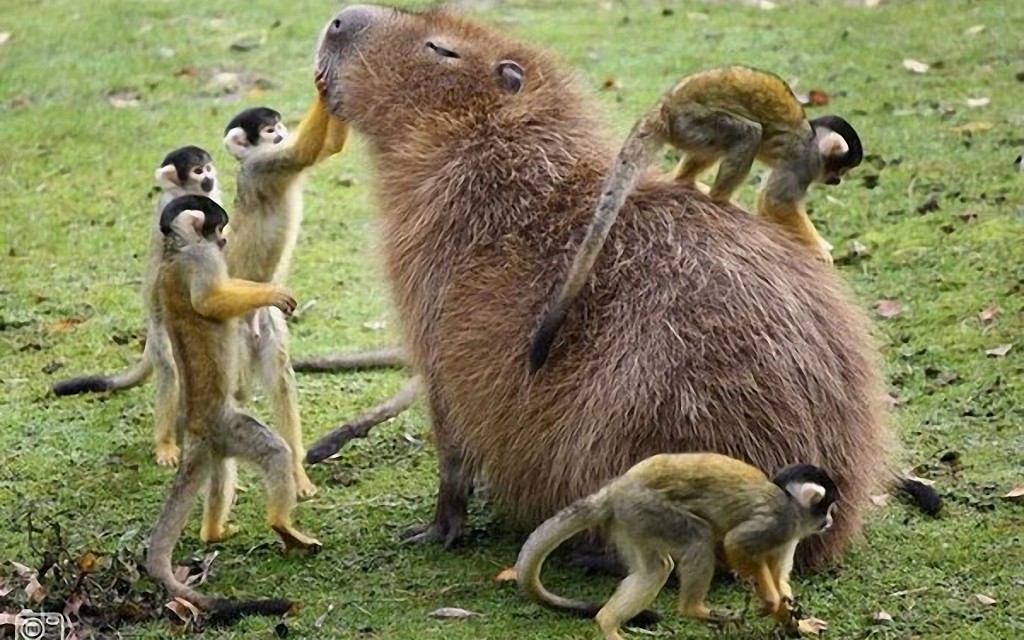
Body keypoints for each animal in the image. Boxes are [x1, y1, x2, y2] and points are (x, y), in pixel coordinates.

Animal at [52, 146, 223, 467]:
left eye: (208, 168)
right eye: (198, 171)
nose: (208, 177)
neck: (186, 192)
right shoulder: (169, 210)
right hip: (159, 329)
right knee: (169, 368)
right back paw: (166, 442)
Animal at [144, 194, 320, 620]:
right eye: (218, 227)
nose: (223, 240)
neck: (176, 249)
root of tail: (196, 427)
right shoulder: (201, 257)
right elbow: (210, 299)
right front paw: (271, 294)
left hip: (217, 442)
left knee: (221, 472)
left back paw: (214, 532)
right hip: (231, 427)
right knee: (274, 451)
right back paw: (281, 524)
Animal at [217, 96, 349, 499]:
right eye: (269, 130)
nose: (280, 133)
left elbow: (325, 148)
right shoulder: (263, 165)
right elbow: (302, 152)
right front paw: (322, 90)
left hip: (267, 322)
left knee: (280, 381)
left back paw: (296, 474)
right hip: (231, 332)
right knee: (237, 392)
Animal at [515, 453, 834, 640]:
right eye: (828, 507)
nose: (830, 520)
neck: (792, 505)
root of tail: (614, 489)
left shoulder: (790, 534)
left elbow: (778, 576)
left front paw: (794, 622)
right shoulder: (780, 521)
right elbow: (736, 543)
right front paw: (771, 602)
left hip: (632, 518)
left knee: (655, 569)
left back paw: (606, 622)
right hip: (646, 507)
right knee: (699, 538)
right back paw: (693, 608)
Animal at [528, 65, 863, 373]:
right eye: (840, 169)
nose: (837, 181)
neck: (811, 139)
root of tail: (666, 107)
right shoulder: (801, 161)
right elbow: (775, 201)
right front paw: (817, 250)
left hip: (688, 131)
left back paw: (687, 182)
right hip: (692, 123)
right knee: (747, 133)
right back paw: (719, 198)